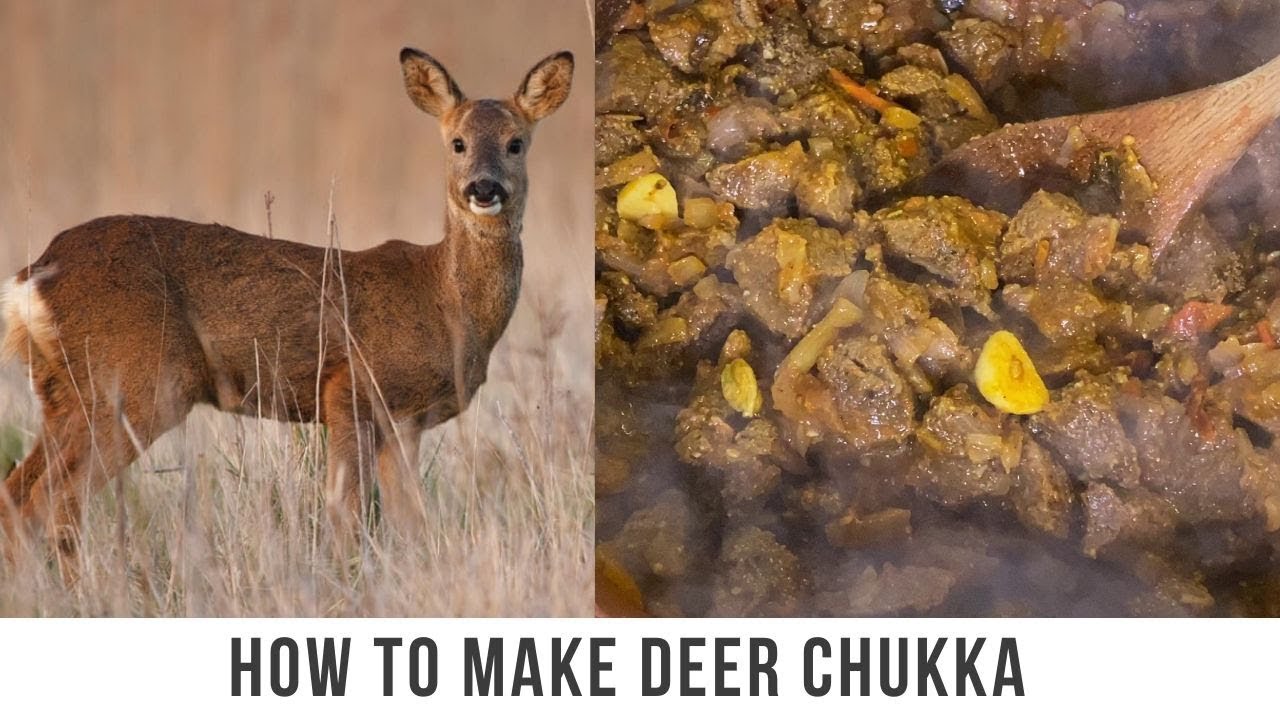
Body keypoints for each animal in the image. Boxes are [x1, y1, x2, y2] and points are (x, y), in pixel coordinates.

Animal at [0, 47, 574, 579]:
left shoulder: (406, 421)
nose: (484, 187)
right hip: (139, 380)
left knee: (20, 491)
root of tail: (33, 276)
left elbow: (412, 523)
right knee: (52, 498)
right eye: (457, 143)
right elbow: (348, 512)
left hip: (64, 392)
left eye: (516, 143)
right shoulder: (350, 388)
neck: (445, 301)